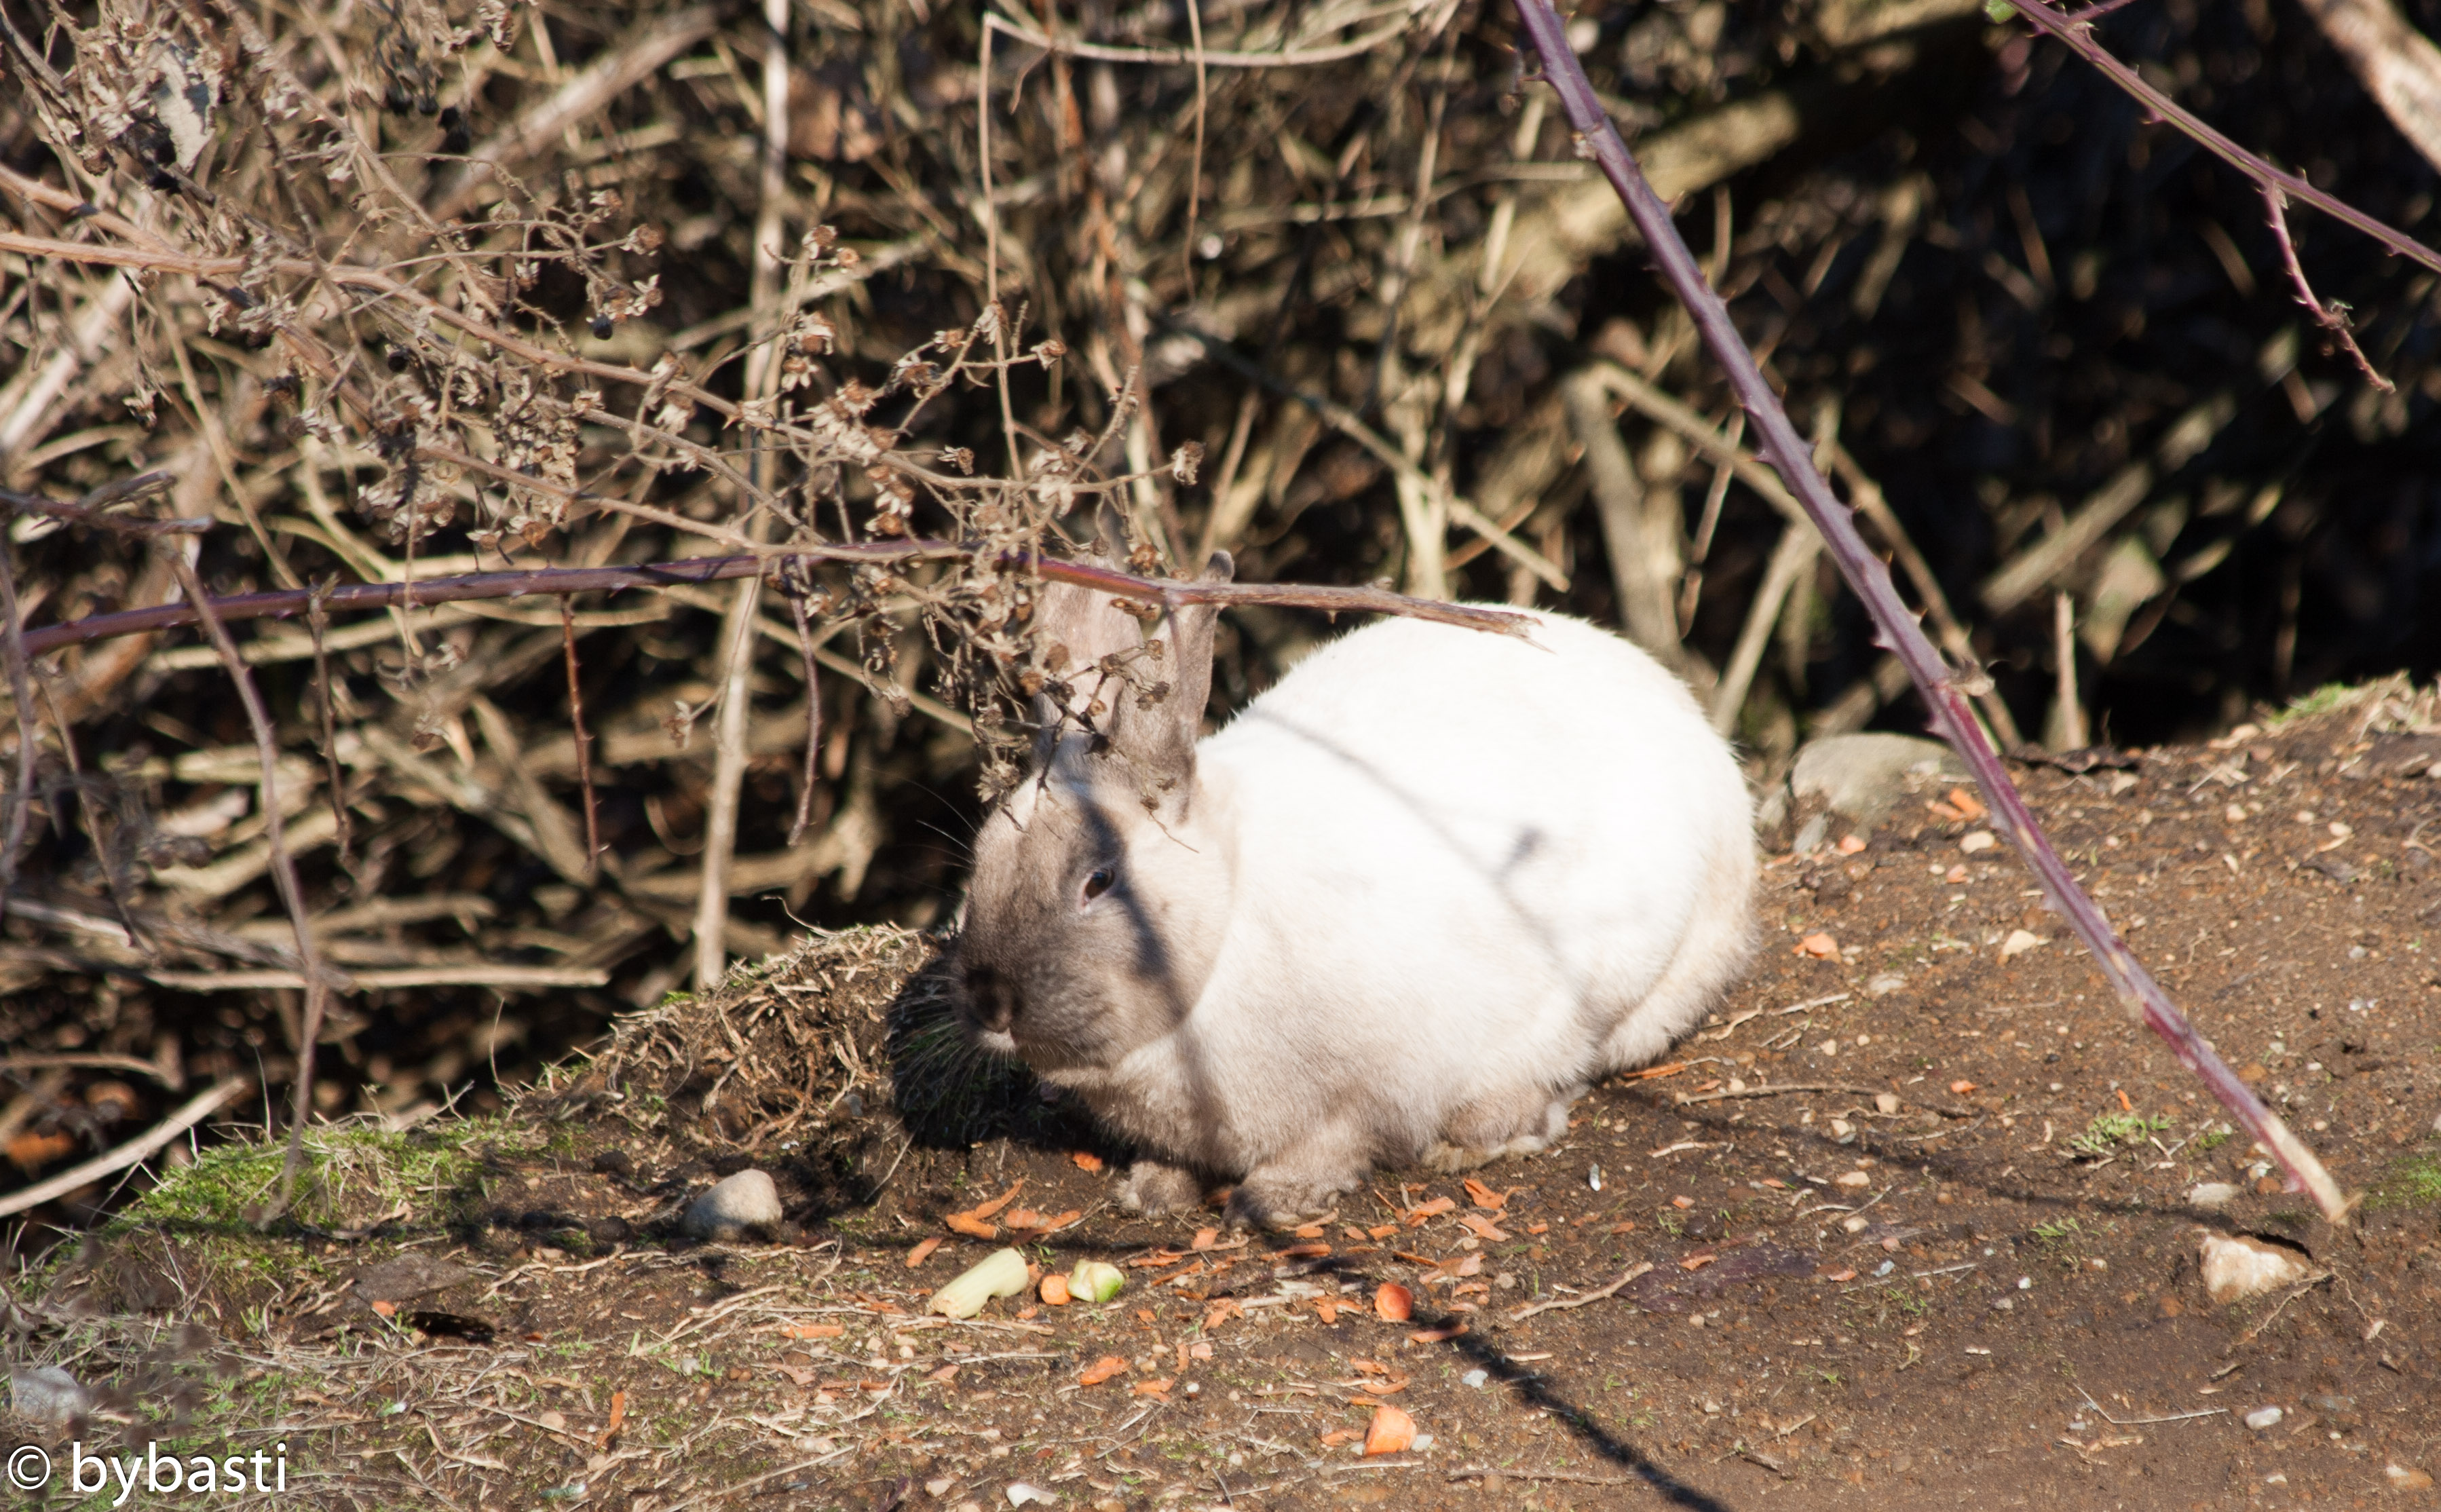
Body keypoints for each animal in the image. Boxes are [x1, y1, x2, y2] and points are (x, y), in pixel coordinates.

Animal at [951, 547, 1756, 1228]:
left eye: (1100, 879)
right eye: (983, 856)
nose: (991, 1001)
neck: (1224, 922)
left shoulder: (1360, 1098)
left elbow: (1334, 1148)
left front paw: (1272, 1200)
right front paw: (1152, 1190)